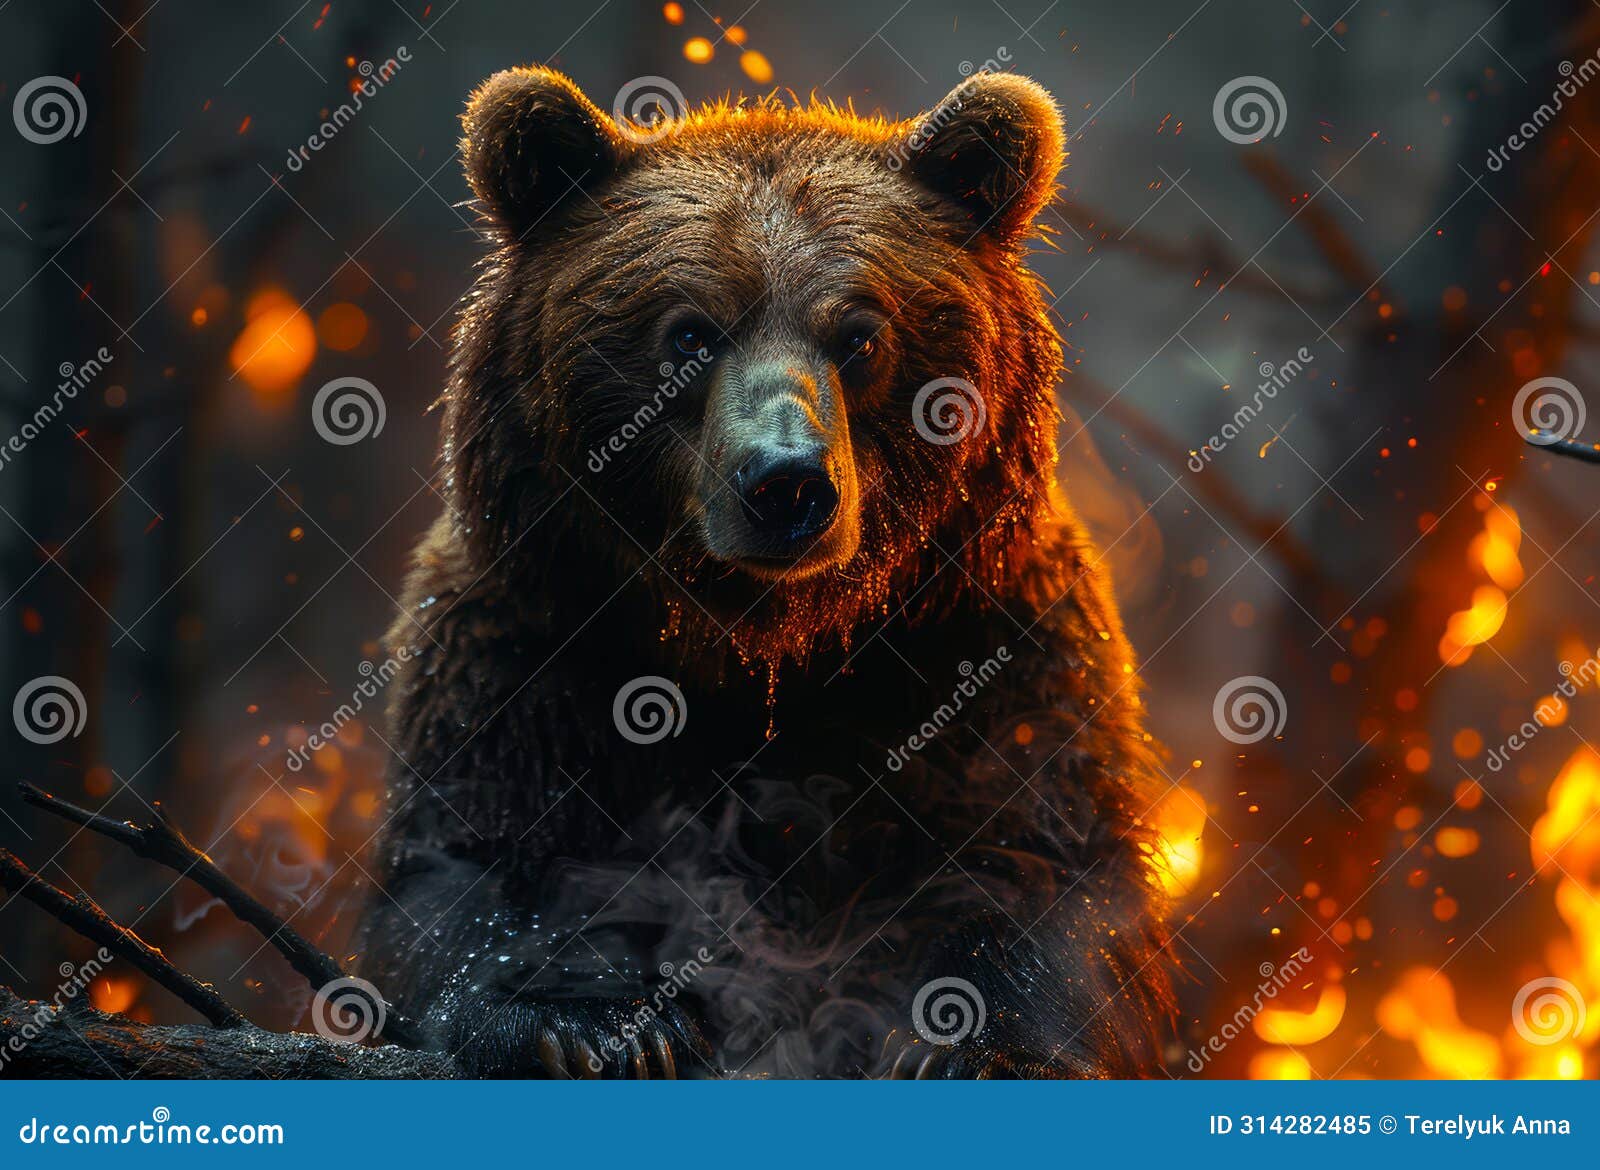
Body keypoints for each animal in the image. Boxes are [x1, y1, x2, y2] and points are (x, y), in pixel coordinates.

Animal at [358, 65, 1173, 1079]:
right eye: (690, 334)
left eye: (860, 335)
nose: (785, 483)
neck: (767, 639)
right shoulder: (531, 635)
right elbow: (473, 863)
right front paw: (589, 1023)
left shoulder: (985, 637)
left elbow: (1047, 865)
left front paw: (977, 1048)